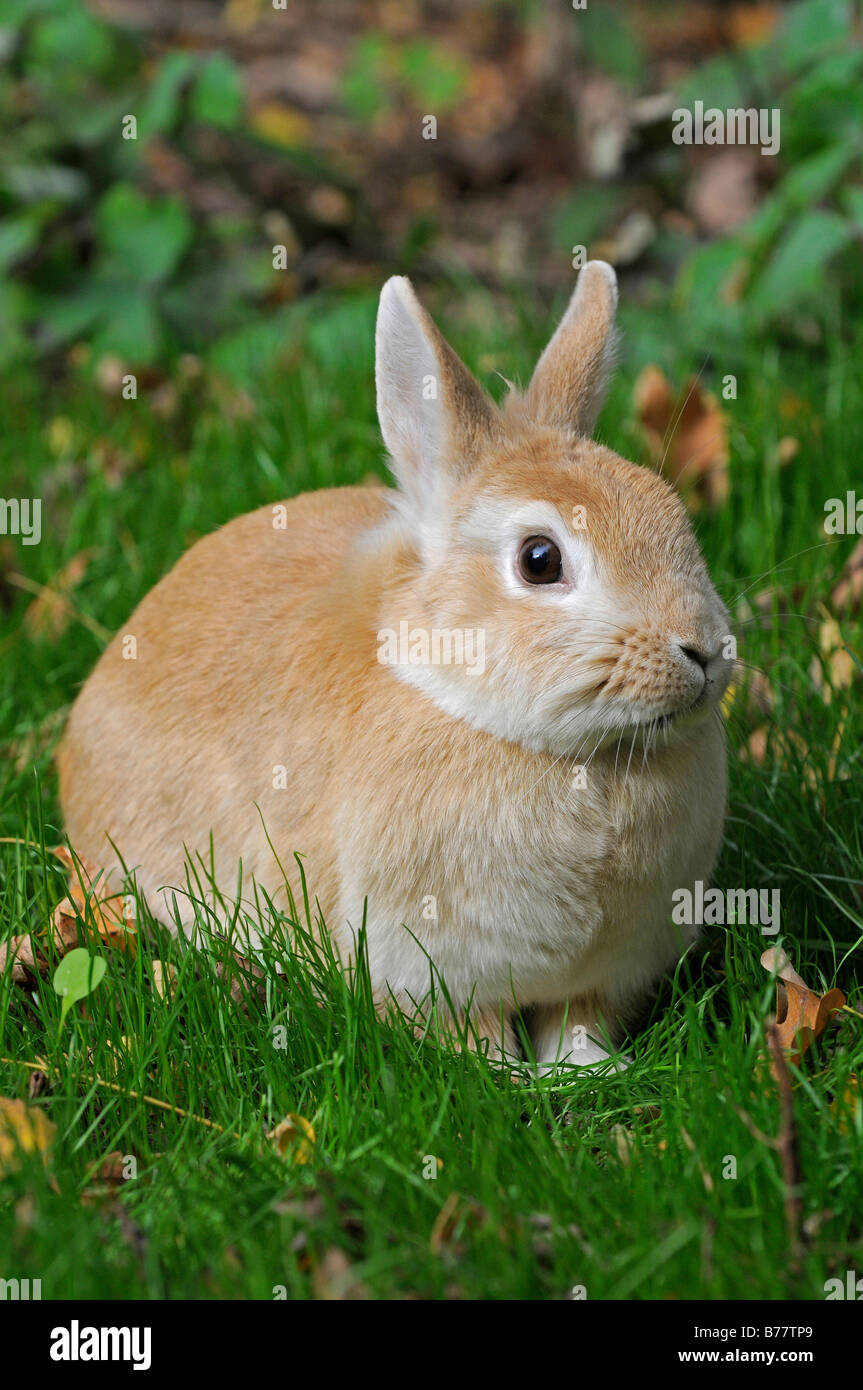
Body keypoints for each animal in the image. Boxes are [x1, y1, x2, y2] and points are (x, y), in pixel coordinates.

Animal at [57, 261, 732, 1069]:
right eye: (539, 560)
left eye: (673, 514)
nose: (702, 649)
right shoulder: (424, 971)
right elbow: (471, 1036)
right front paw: (515, 1079)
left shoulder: (604, 976)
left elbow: (580, 1022)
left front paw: (586, 1071)